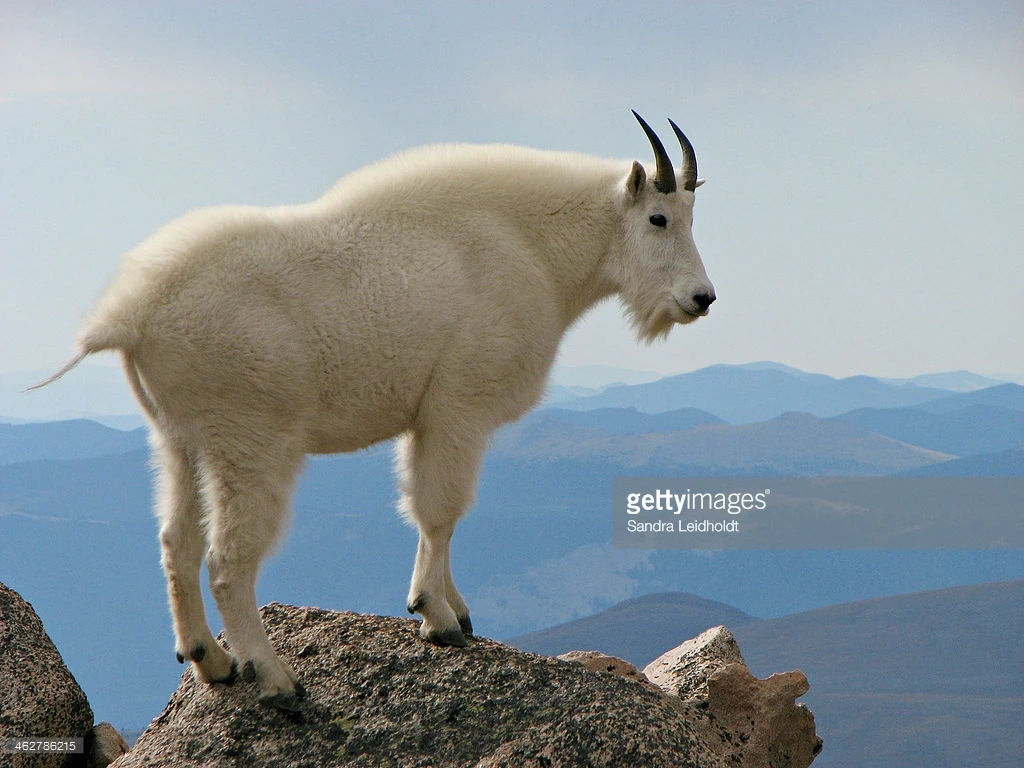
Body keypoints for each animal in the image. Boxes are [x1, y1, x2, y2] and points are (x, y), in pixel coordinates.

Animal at [33, 111, 715, 710]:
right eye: (658, 218)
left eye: (689, 216)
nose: (702, 298)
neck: (535, 246)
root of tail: (130, 316)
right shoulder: (458, 407)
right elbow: (441, 510)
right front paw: (437, 618)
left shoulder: (429, 419)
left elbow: (430, 512)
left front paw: (453, 609)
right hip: (251, 440)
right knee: (228, 560)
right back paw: (276, 680)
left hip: (180, 439)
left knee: (176, 540)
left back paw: (213, 661)